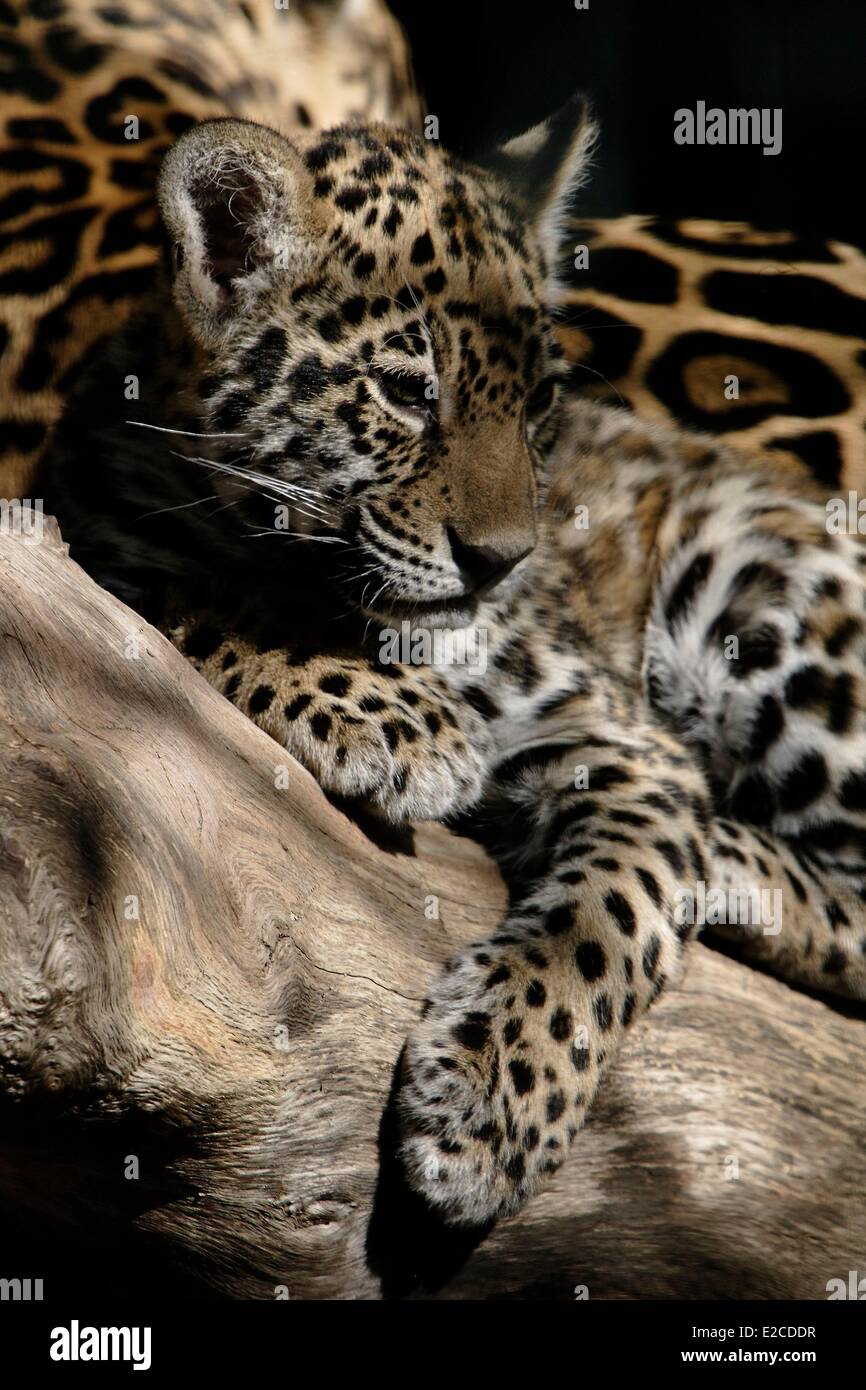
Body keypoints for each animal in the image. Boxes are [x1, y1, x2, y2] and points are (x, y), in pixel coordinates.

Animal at [4, 0, 866, 1230]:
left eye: (539, 401)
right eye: (410, 392)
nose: (503, 563)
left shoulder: (620, 744)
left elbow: (610, 913)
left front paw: (494, 1090)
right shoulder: (91, 545)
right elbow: (192, 602)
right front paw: (391, 719)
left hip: (746, 577)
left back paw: (734, 858)